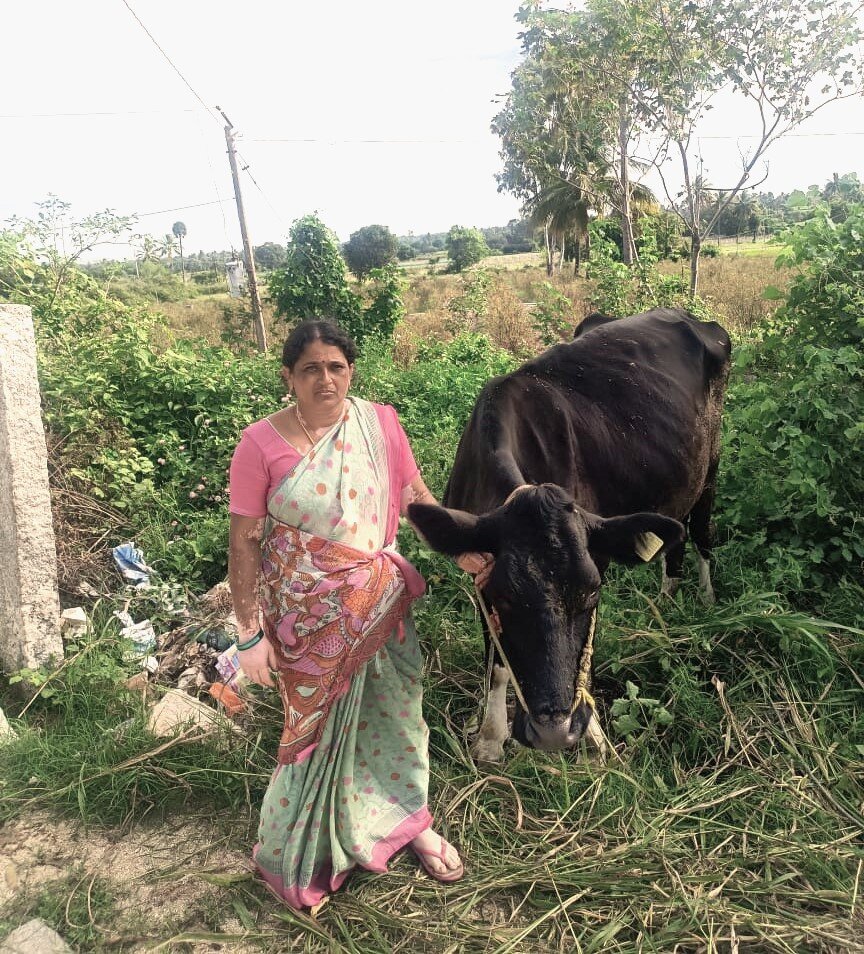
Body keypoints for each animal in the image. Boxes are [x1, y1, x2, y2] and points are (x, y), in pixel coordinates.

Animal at [408, 307, 731, 761]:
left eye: (591, 594)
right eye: (504, 597)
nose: (555, 733)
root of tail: (684, 313)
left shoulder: (598, 558)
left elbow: (585, 659)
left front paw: (593, 739)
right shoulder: (478, 573)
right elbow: (496, 661)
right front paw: (489, 735)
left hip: (710, 467)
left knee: (701, 532)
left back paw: (705, 598)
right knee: (676, 539)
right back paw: (666, 605)